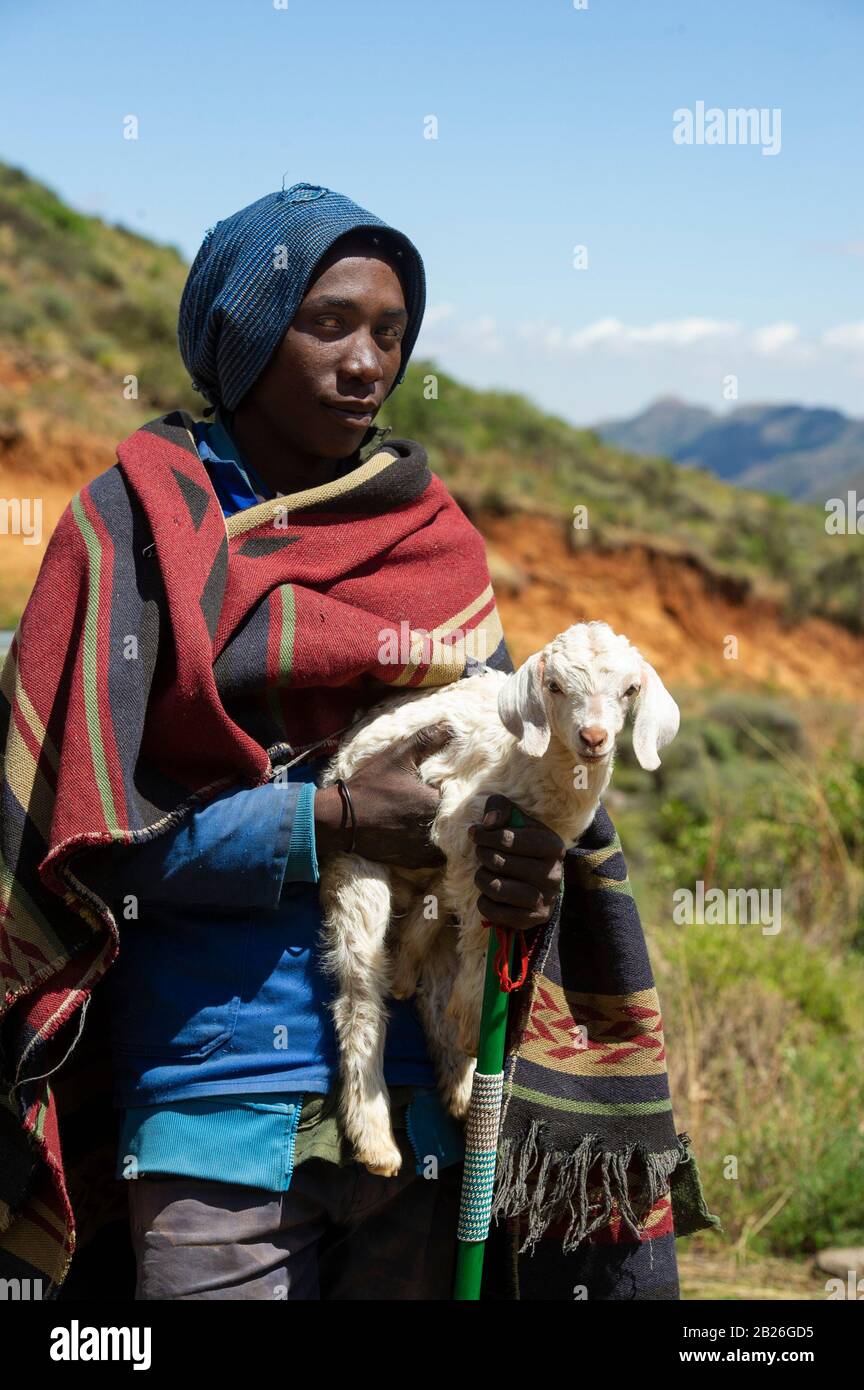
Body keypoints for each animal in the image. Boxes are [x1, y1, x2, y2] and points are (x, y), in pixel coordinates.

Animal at [317, 620, 680, 1176]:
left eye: (630, 690)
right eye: (555, 686)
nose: (593, 738)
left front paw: (468, 1027)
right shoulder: (460, 827)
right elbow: (479, 930)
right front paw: (473, 1020)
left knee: (426, 973)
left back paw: (458, 1078)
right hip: (357, 860)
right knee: (359, 994)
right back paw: (378, 1137)